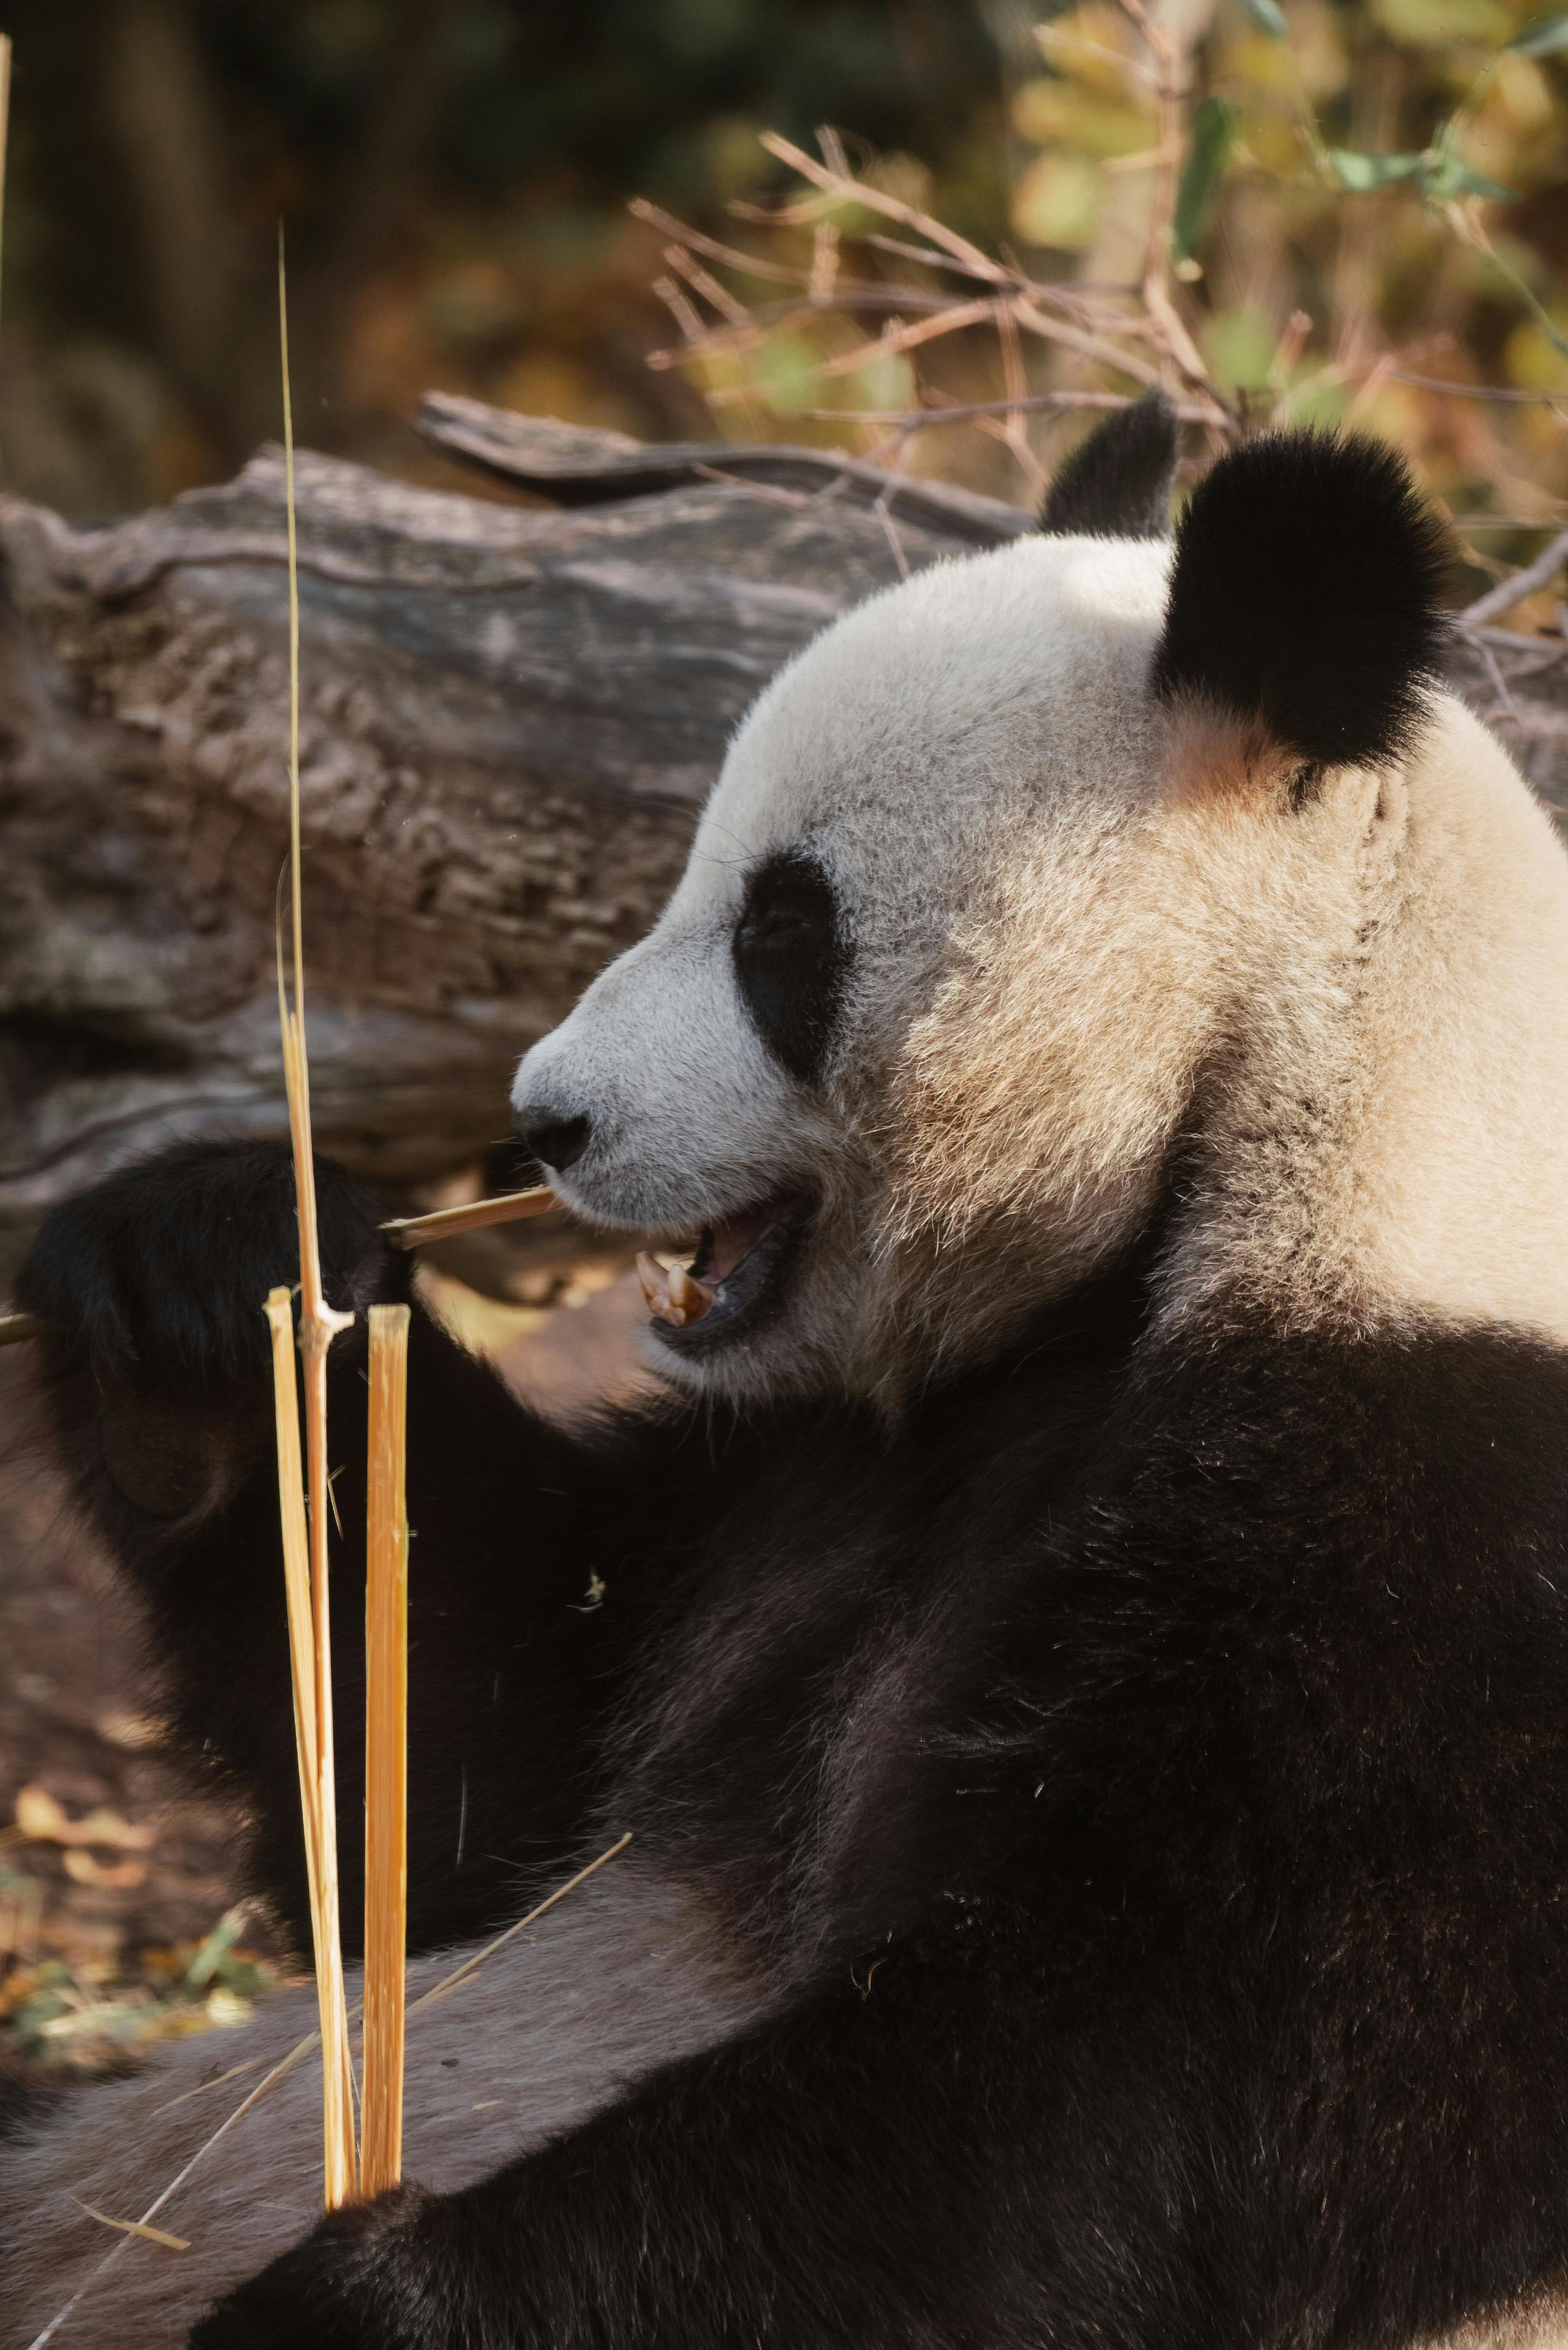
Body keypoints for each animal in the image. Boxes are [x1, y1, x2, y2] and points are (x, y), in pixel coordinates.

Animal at [7, 393, 1568, 2350]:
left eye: (779, 931)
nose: (545, 1117)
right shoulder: (814, 1479)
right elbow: (476, 1788)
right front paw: (206, 1286)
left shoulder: (1414, 1541)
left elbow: (1108, 2111)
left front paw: (362, 2300)